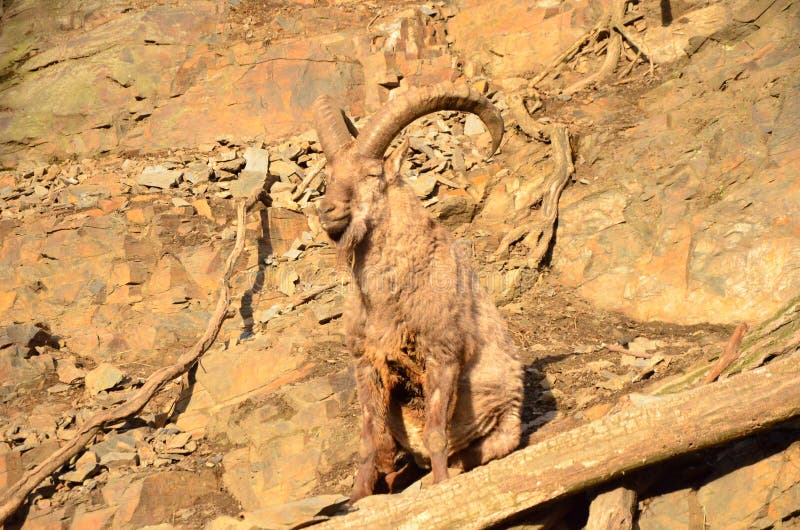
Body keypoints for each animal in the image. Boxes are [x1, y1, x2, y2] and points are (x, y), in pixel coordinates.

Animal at [311, 82, 523, 501]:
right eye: (329, 173)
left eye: (372, 173)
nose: (328, 211)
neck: (385, 296)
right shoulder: (367, 364)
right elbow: (368, 442)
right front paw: (357, 499)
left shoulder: (442, 354)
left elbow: (437, 434)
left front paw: (441, 489)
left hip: (503, 422)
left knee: (464, 454)